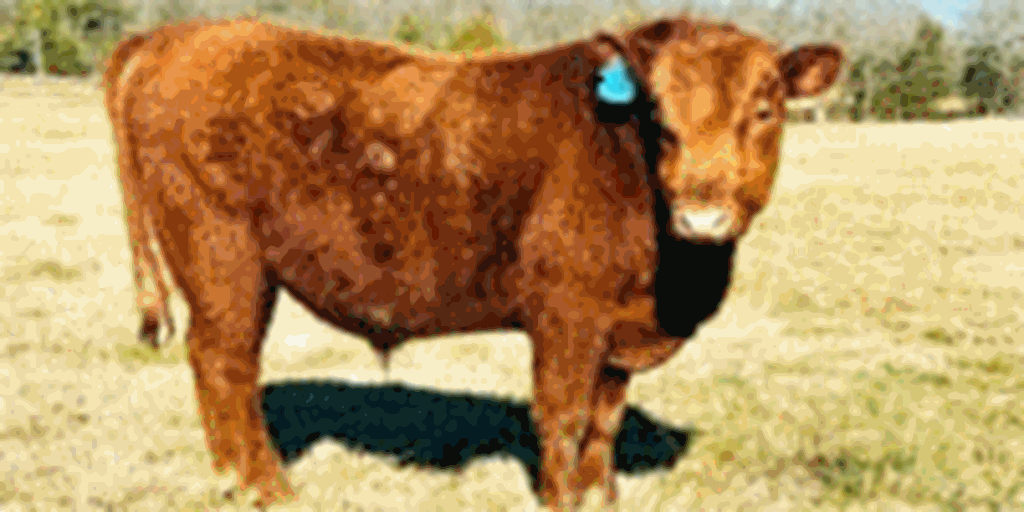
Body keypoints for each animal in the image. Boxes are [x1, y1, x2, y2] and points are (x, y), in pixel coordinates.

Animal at [103, 16, 842, 511]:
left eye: (765, 109)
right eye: (658, 114)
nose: (701, 215)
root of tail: (181, 34)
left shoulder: (616, 328)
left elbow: (605, 422)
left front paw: (601, 496)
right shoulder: (566, 315)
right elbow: (563, 419)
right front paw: (562, 499)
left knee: (217, 365)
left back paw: (234, 478)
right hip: (223, 259)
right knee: (226, 364)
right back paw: (265, 486)